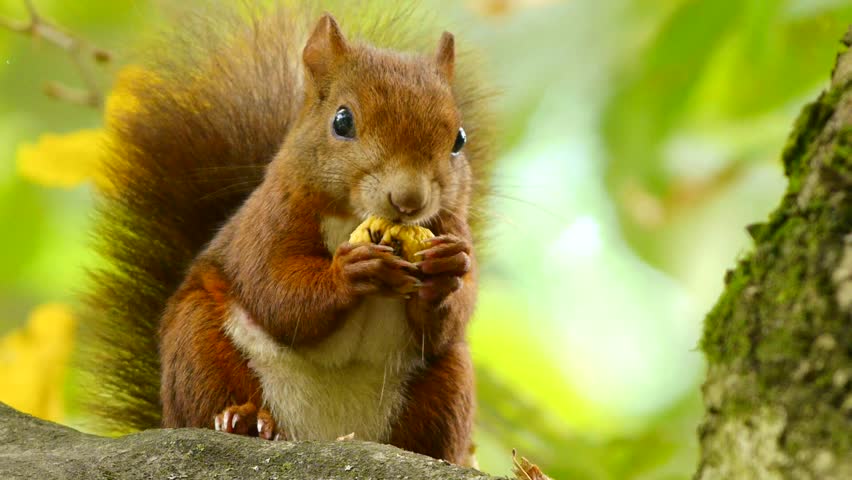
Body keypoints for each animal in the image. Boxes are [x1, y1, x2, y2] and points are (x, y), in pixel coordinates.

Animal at [76, 1, 495, 466]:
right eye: (342, 121)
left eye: (459, 139)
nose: (409, 200)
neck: (353, 216)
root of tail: (330, 438)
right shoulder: (269, 221)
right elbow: (276, 289)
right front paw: (350, 271)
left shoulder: (450, 225)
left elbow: (452, 313)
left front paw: (446, 270)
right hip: (198, 346)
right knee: (208, 404)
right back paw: (243, 420)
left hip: (447, 381)